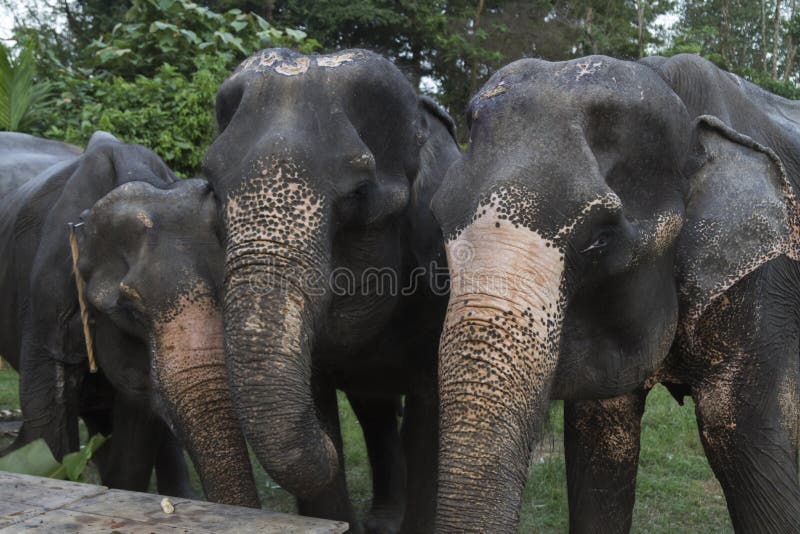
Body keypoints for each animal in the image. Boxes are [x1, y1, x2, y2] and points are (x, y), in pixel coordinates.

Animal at [203, 48, 460, 532]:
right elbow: (319, 394)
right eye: (211, 189)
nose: (324, 444)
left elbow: (429, 421)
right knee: (373, 409)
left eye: (360, 194)